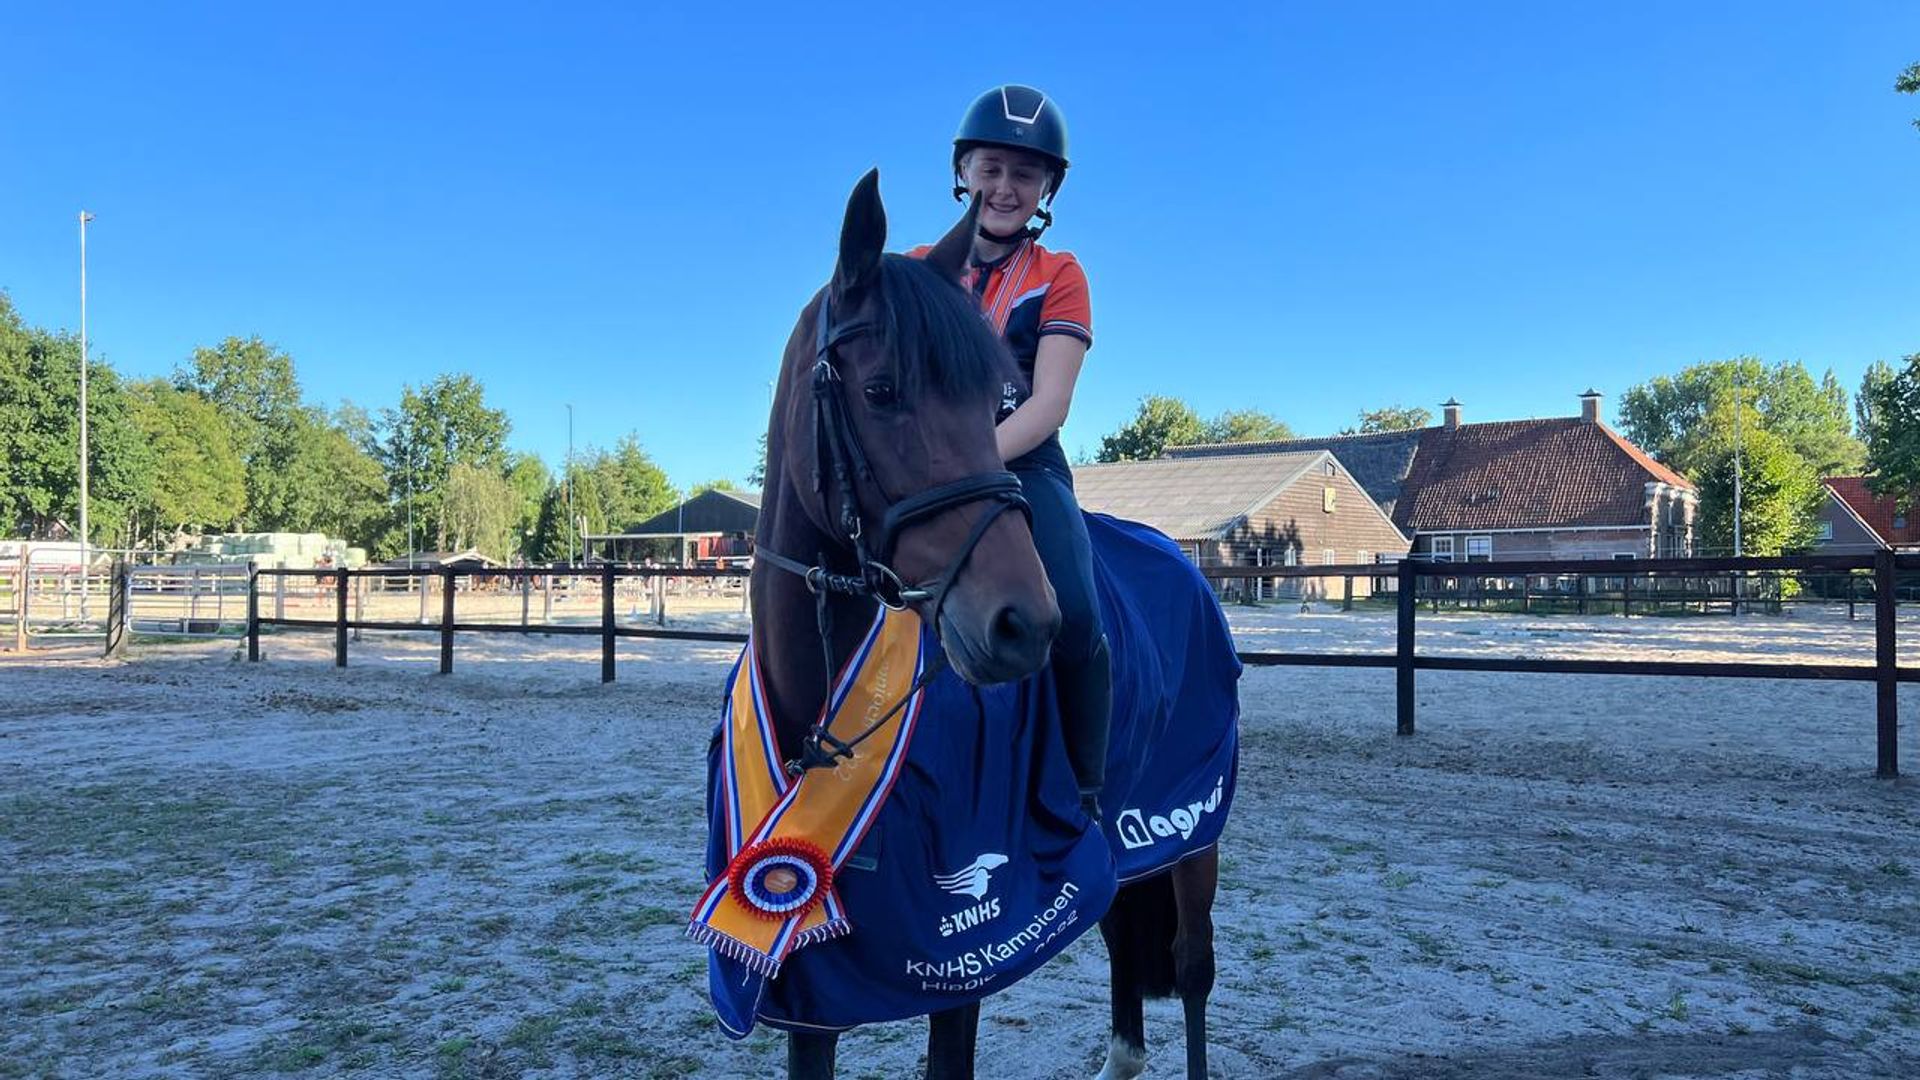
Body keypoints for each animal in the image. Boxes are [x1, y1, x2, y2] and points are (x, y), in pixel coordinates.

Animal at [703, 170, 1233, 1080]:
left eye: (994, 403)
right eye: (881, 391)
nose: (1024, 624)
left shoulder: (964, 957)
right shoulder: (805, 978)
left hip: (1193, 830)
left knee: (1193, 970)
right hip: (1124, 852)